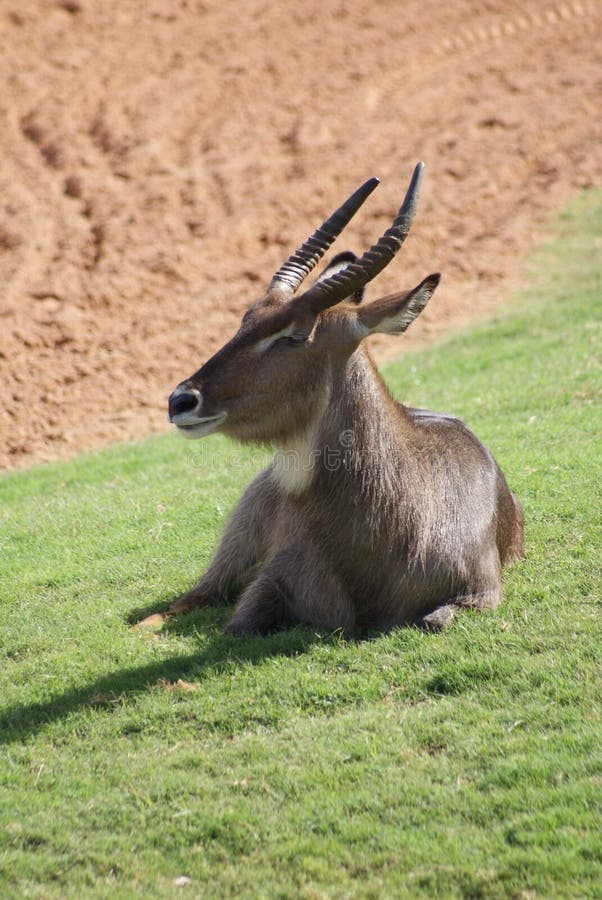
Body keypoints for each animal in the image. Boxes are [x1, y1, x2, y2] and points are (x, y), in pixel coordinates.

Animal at [140, 162, 524, 634]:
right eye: (246, 318)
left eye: (295, 334)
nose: (181, 400)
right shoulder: (270, 582)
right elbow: (236, 625)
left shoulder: (482, 592)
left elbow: (433, 619)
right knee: (189, 599)